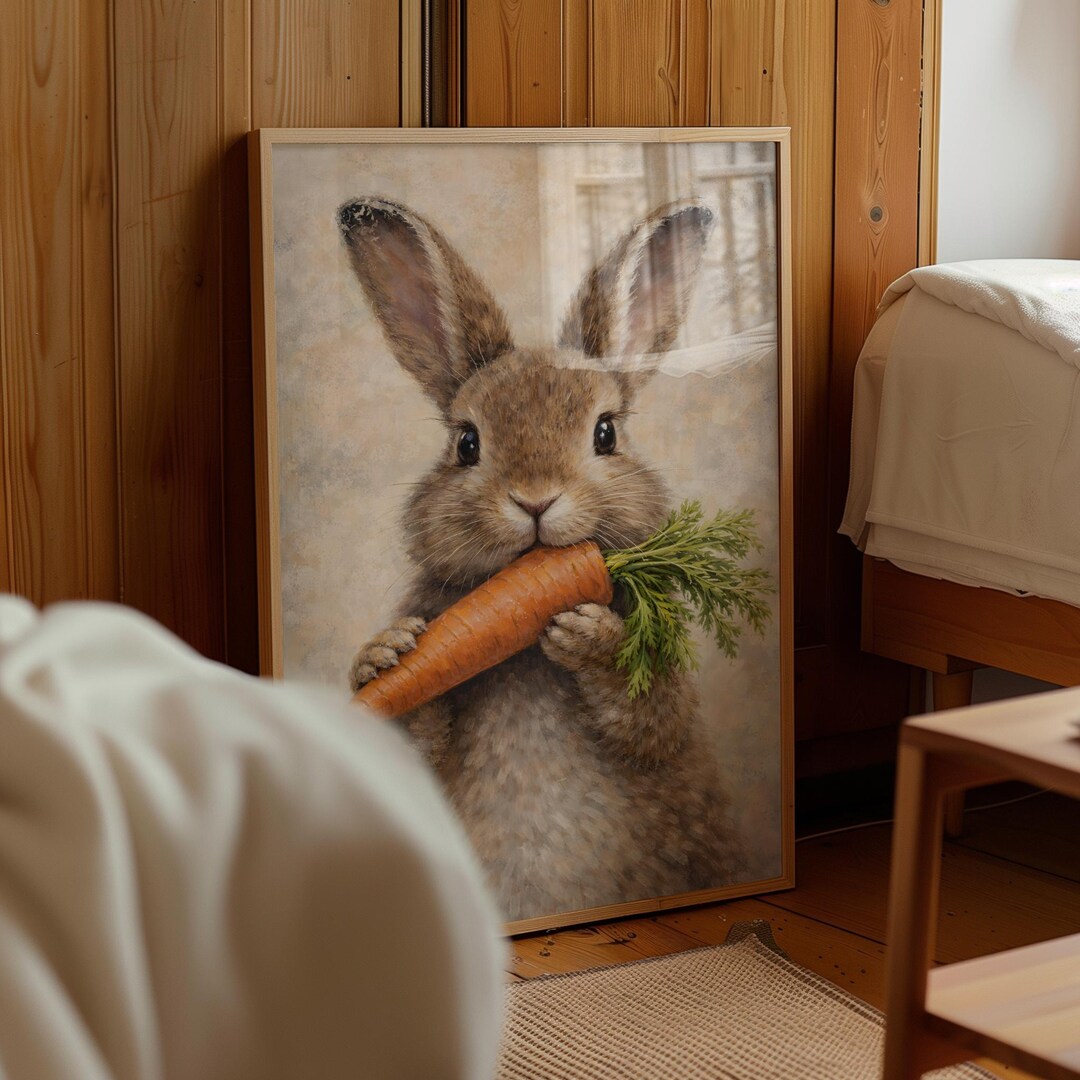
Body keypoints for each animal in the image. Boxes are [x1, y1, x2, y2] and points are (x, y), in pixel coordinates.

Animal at [337, 194, 745, 922]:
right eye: (467, 443)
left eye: (605, 434)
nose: (534, 499)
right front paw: (386, 657)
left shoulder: (660, 690)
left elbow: (651, 714)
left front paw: (586, 638)